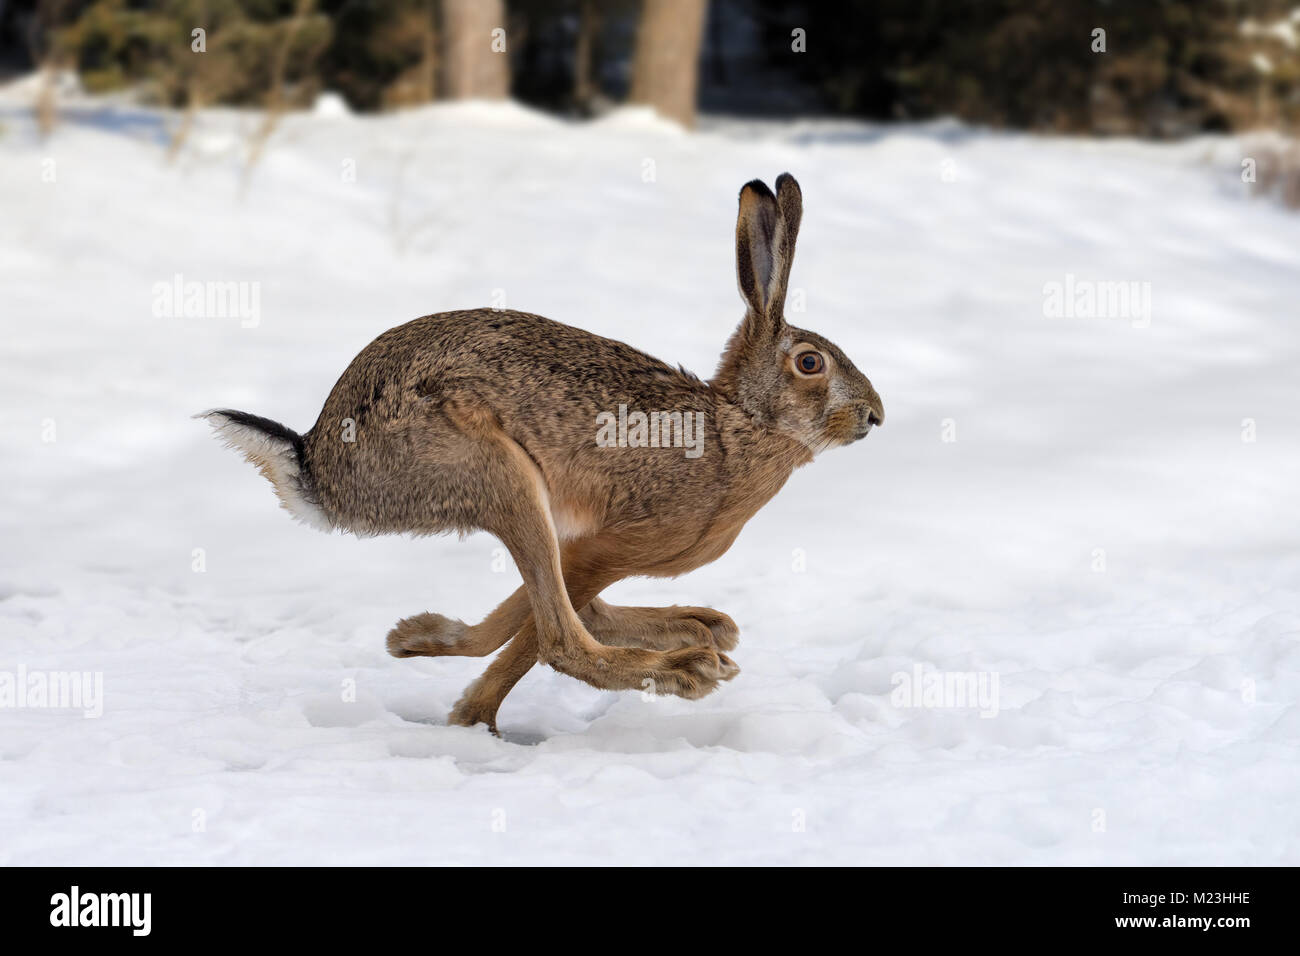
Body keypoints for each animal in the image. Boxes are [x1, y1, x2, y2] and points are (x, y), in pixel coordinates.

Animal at [199, 173, 884, 733]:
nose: (874, 416)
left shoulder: (585, 546)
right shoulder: (610, 545)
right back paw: (687, 665)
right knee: (561, 639)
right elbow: (536, 637)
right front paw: (470, 716)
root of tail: (319, 468)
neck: (738, 425)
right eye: (811, 363)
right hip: (499, 475)